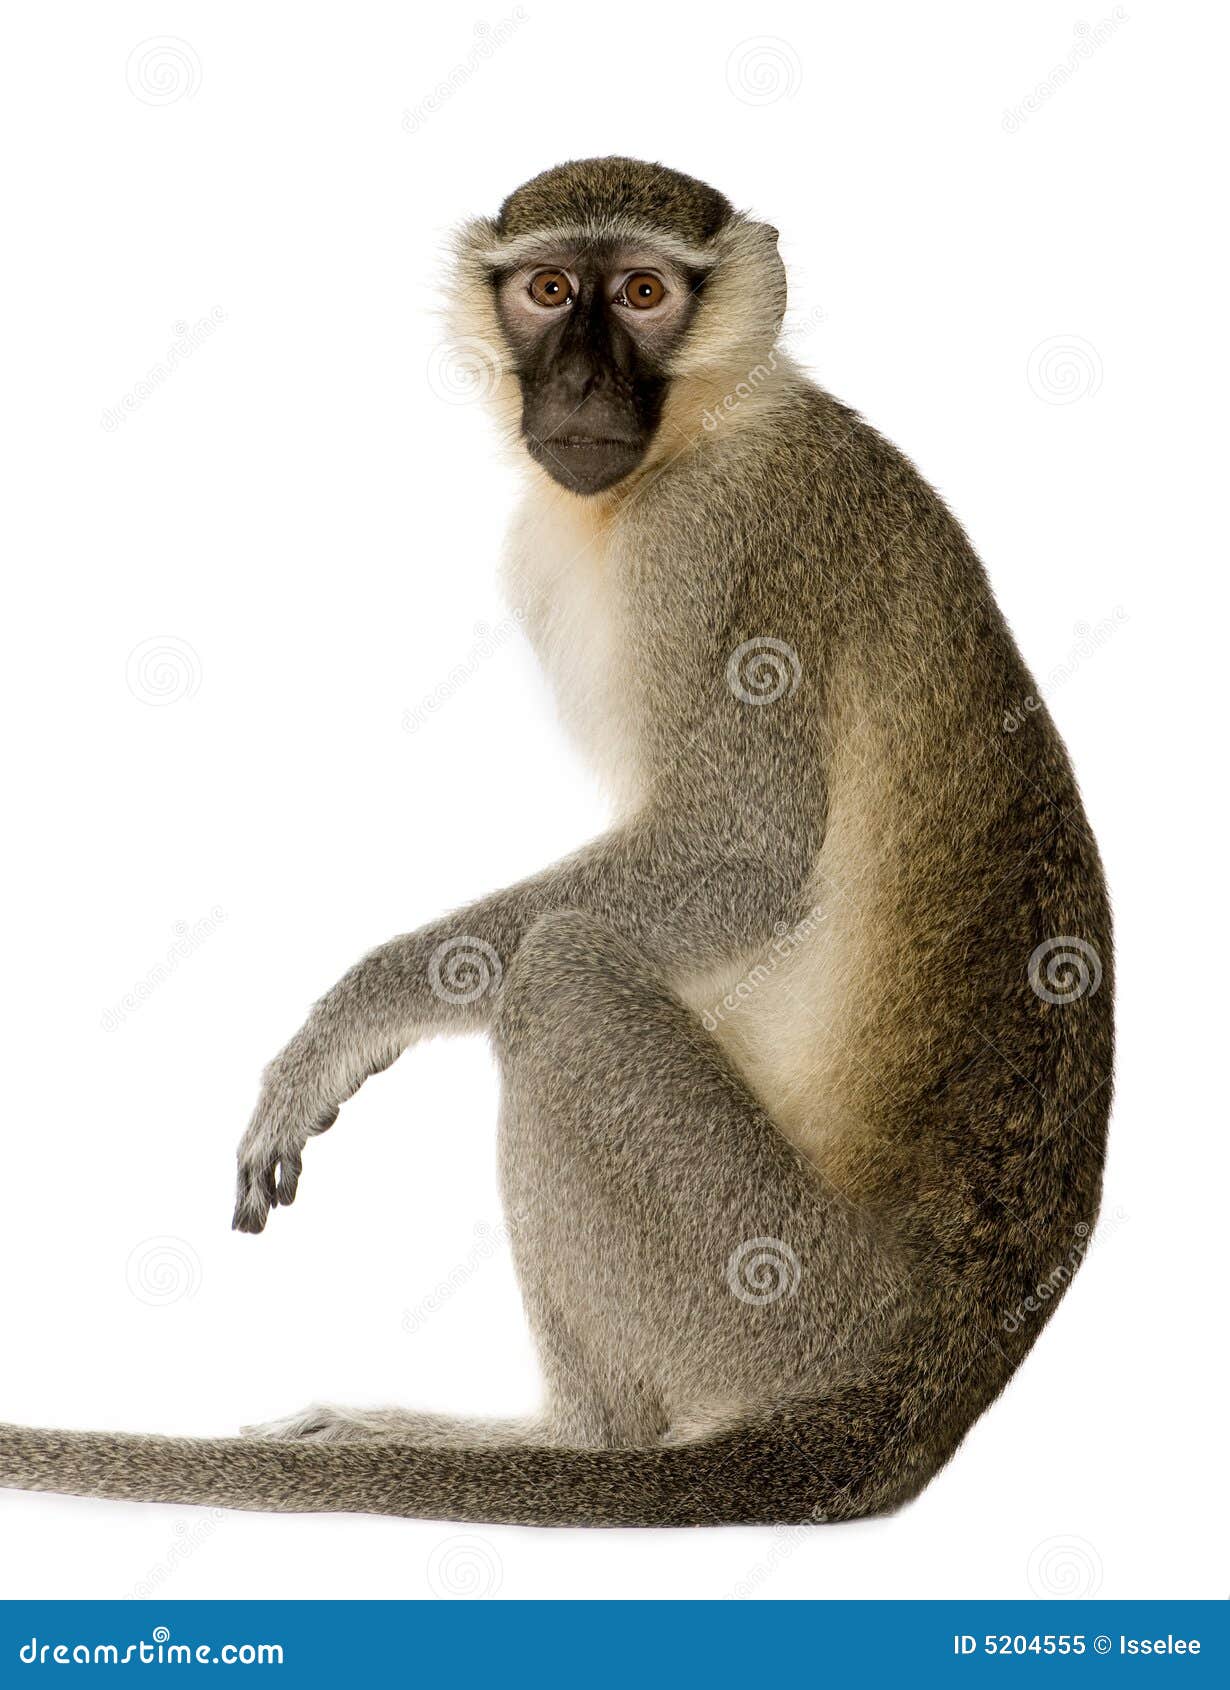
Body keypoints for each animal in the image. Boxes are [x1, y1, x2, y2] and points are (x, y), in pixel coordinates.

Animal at [0, 157, 1112, 1526]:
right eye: (545, 290)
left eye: (639, 293)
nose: (580, 382)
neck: (704, 428)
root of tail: (922, 1393)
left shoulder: (715, 546)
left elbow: (744, 855)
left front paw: (354, 1015)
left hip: (778, 1297)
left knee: (564, 972)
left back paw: (576, 1443)